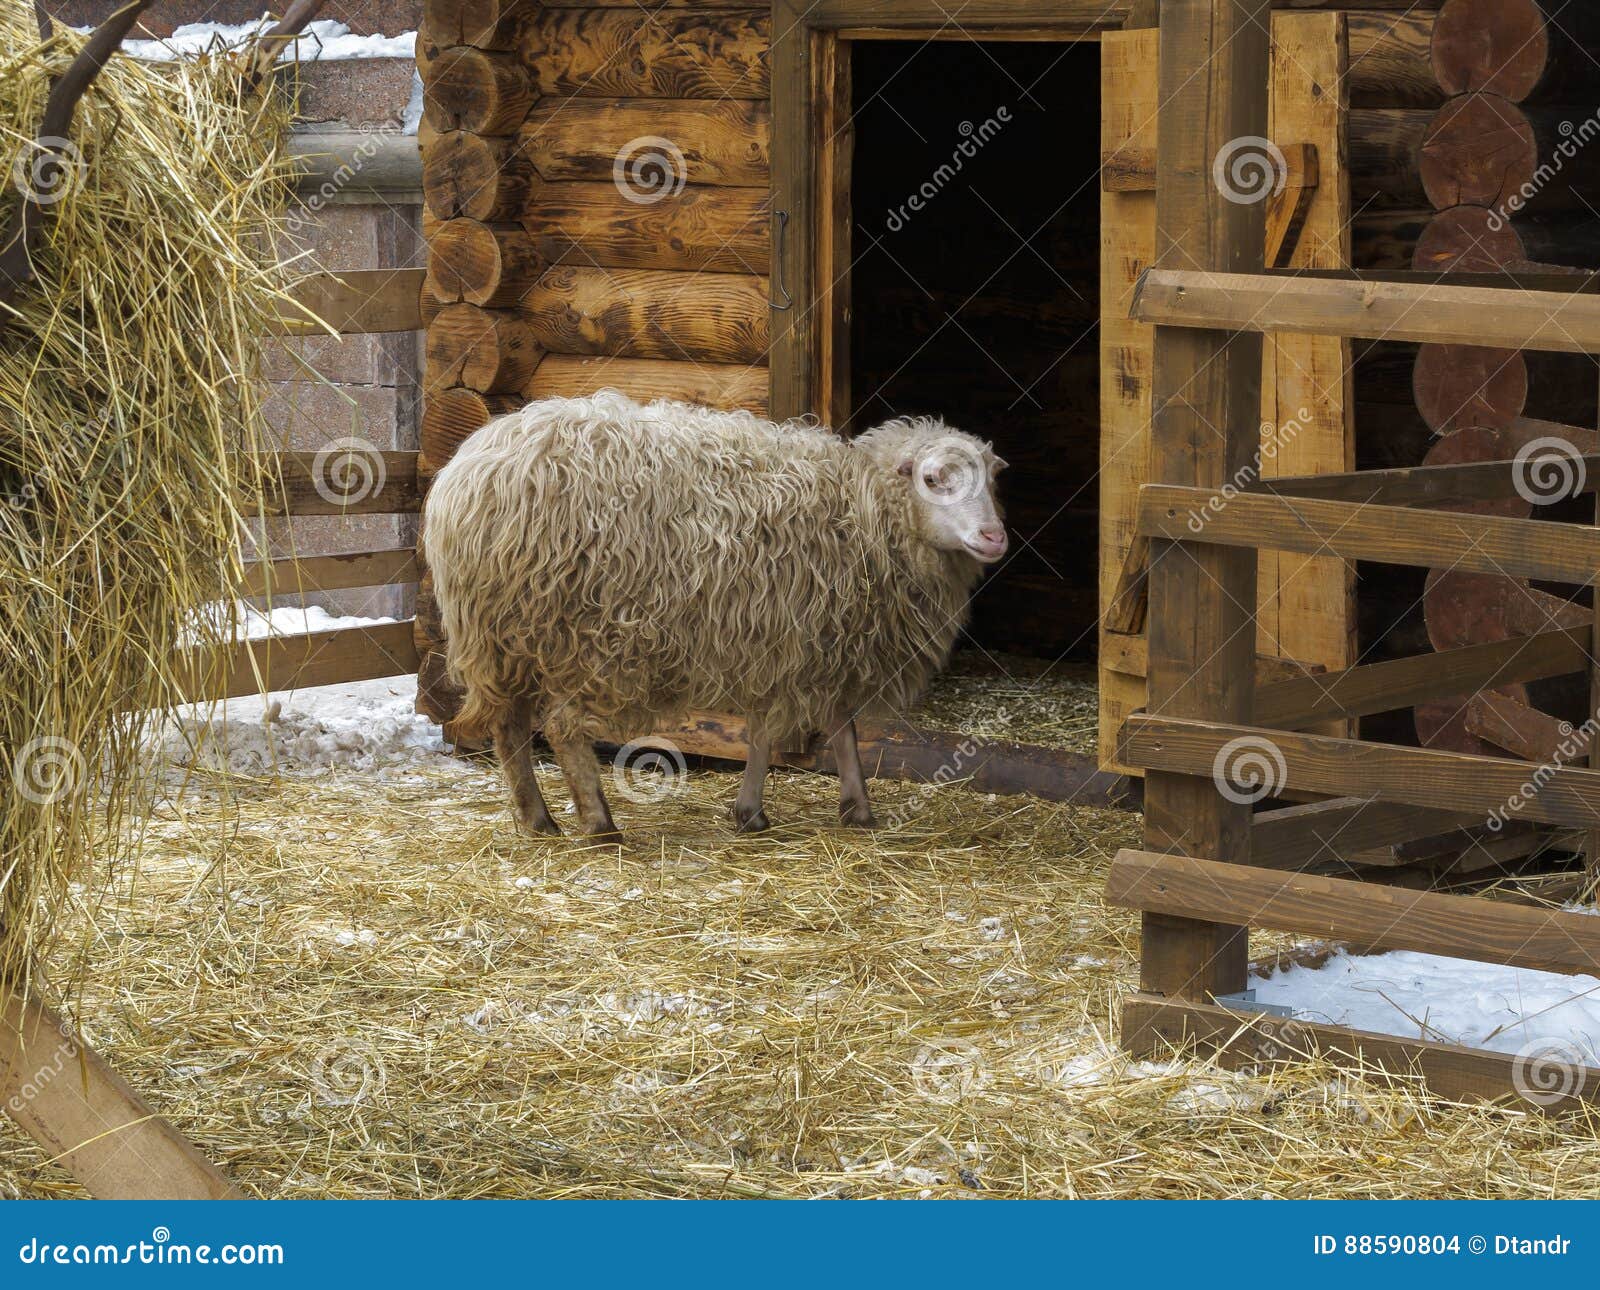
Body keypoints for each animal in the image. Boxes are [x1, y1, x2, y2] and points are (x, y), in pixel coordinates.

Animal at [421, 389, 1008, 840]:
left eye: (991, 481)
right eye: (932, 479)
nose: (993, 537)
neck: (862, 509)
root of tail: (466, 475)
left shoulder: (811, 642)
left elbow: (834, 726)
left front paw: (851, 807)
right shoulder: (797, 641)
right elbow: (778, 731)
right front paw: (759, 810)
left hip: (507, 636)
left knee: (510, 727)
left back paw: (537, 819)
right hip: (580, 636)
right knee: (563, 729)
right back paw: (600, 822)